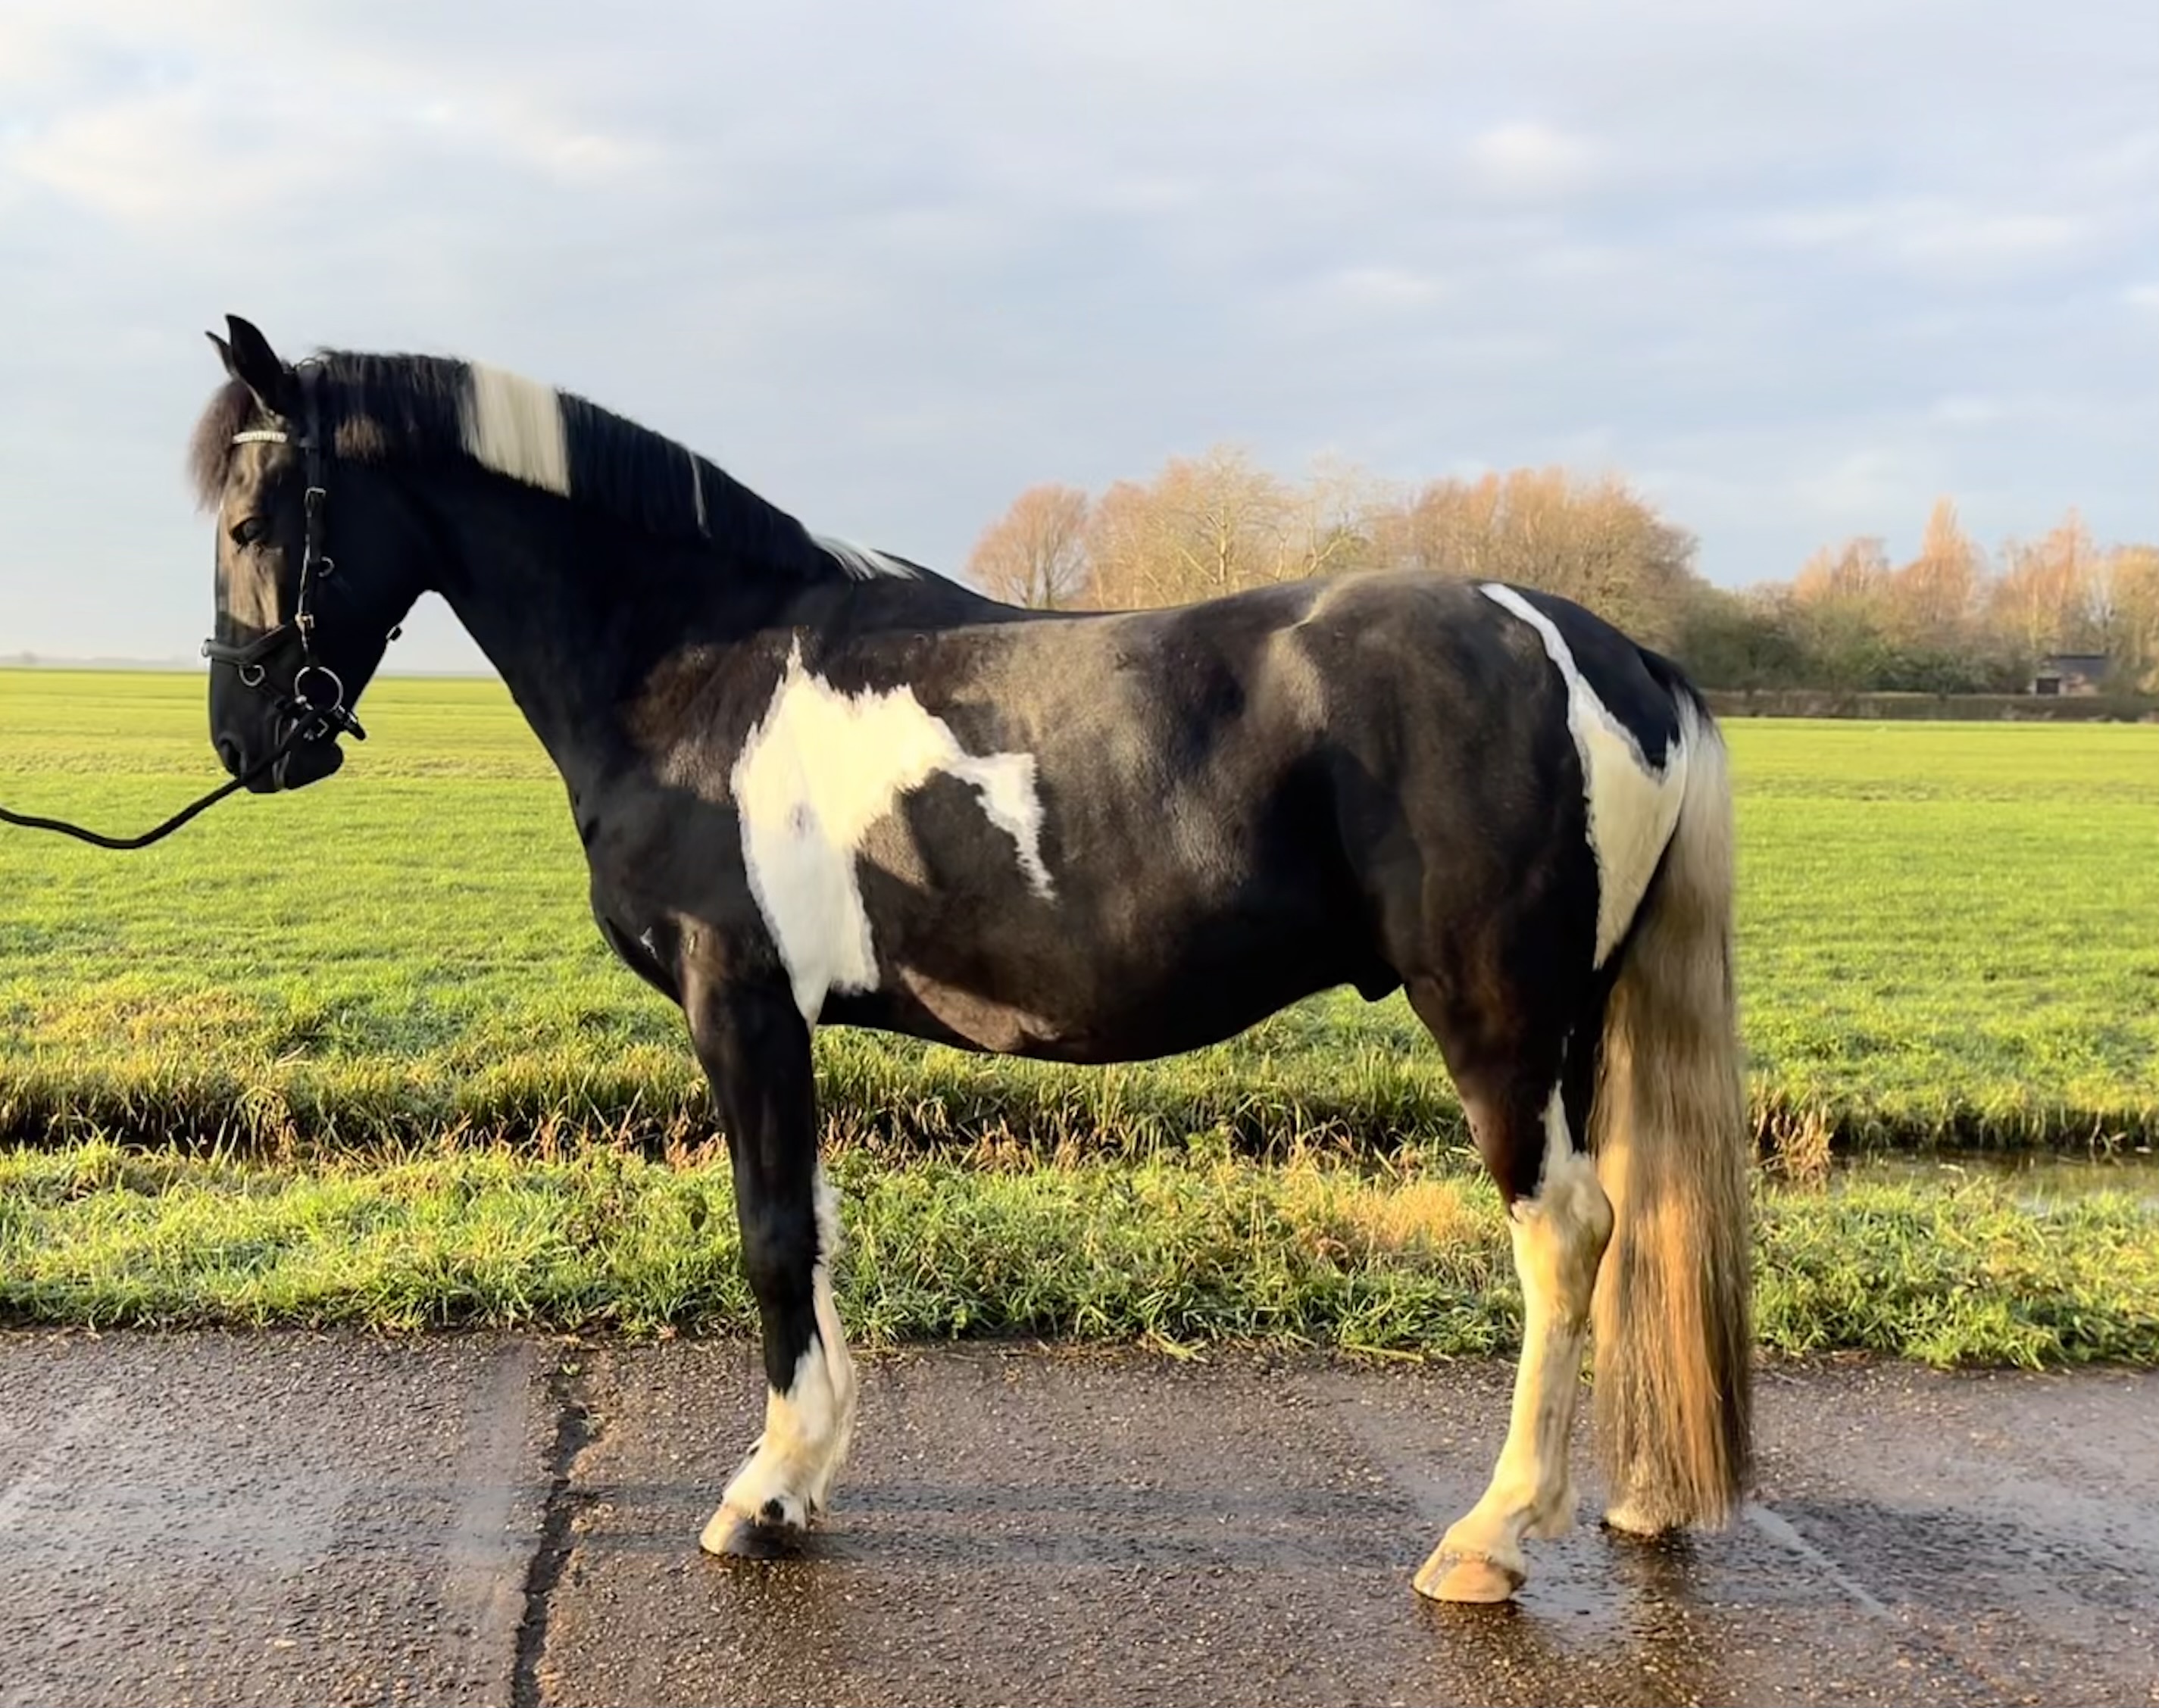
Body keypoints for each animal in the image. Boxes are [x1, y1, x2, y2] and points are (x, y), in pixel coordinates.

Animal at [189, 313, 1753, 1605]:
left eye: (258, 515)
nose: (248, 741)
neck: (698, 665)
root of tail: (1608, 654)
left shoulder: (740, 1002)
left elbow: (771, 1238)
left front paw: (764, 1497)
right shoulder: (788, 1020)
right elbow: (814, 1230)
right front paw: (805, 1478)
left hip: (1498, 1021)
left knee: (1567, 1234)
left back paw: (1490, 1539)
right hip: (1576, 1028)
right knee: (1634, 1228)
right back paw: (1636, 1497)